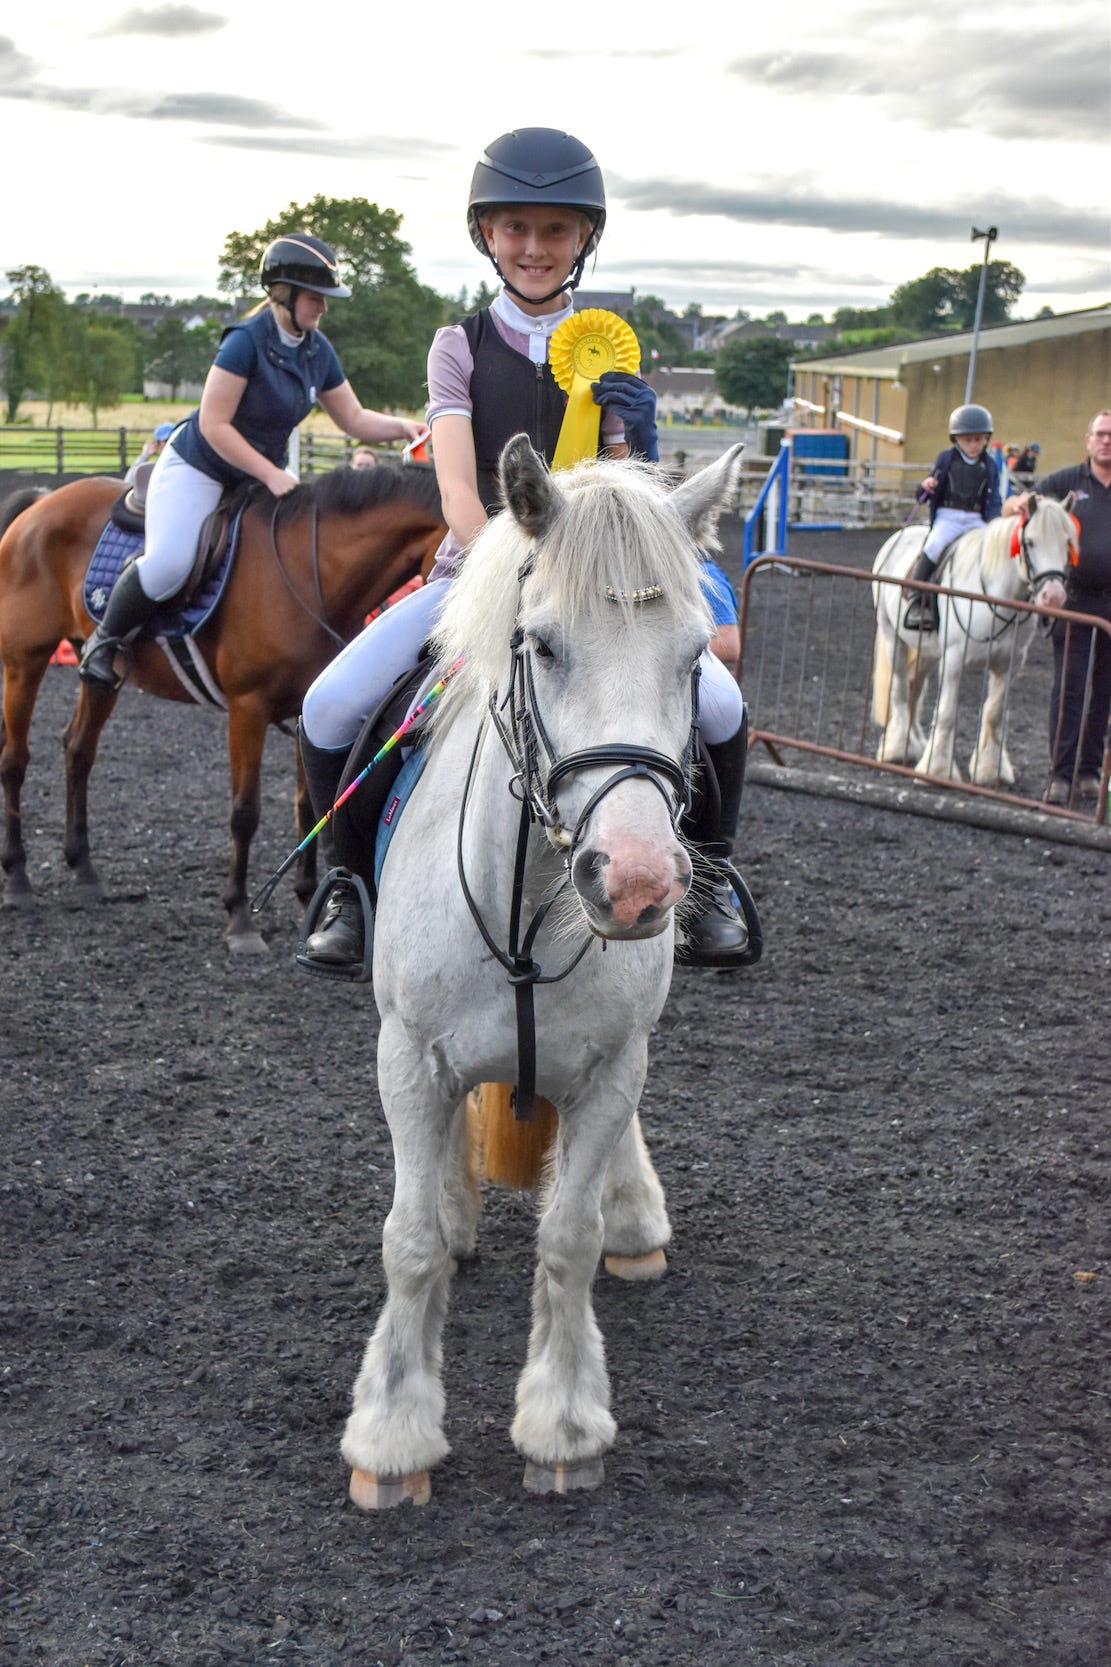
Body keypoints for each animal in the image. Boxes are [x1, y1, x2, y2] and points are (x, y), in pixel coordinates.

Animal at [0, 465, 445, 947]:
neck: (310, 574)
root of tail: (40, 502)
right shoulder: (248, 709)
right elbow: (245, 812)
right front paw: (240, 916)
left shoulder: (307, 709)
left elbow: (308, 805)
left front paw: (309, 899)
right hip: (24, 660)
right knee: (15, 761)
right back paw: (18, 878)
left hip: (102, 678)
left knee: (78, 751)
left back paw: (84, 870)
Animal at [340, 436, 745, 1508]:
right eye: (545, 646)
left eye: (694, 657)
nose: (637, 881)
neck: (524, 908)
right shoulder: (408, 1059)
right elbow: (408, 1242)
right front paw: (392, 1436)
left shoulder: (612, 1068)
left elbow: (566, 1239)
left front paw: (563, 1425)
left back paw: (633, 1215)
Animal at [871, 494, 1077, 785]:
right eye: (1029, 542)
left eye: (1067, 543)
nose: (1053, 596)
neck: (996, 597)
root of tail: (898, 537)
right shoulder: (954, 660)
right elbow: (946, 713)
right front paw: (935, 770)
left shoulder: (1008, 664)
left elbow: (994, 714)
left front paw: (990, 770)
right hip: (893, 637)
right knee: (899, 688)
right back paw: (898, 749)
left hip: (928, 650)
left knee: (913, 686)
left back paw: (915, 744)